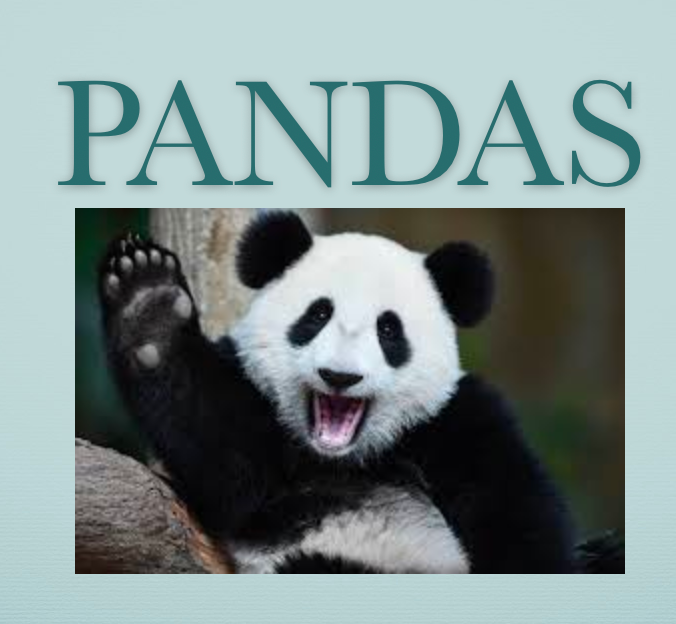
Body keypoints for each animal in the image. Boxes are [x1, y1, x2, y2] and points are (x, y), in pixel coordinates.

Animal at [98, 210, 617, 574]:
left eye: (389, 330)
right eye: (317, 315)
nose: (340, 377)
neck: (346, 460)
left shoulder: (457, 419)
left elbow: (516, 514)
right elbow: (230, 463)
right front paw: (150, 306)